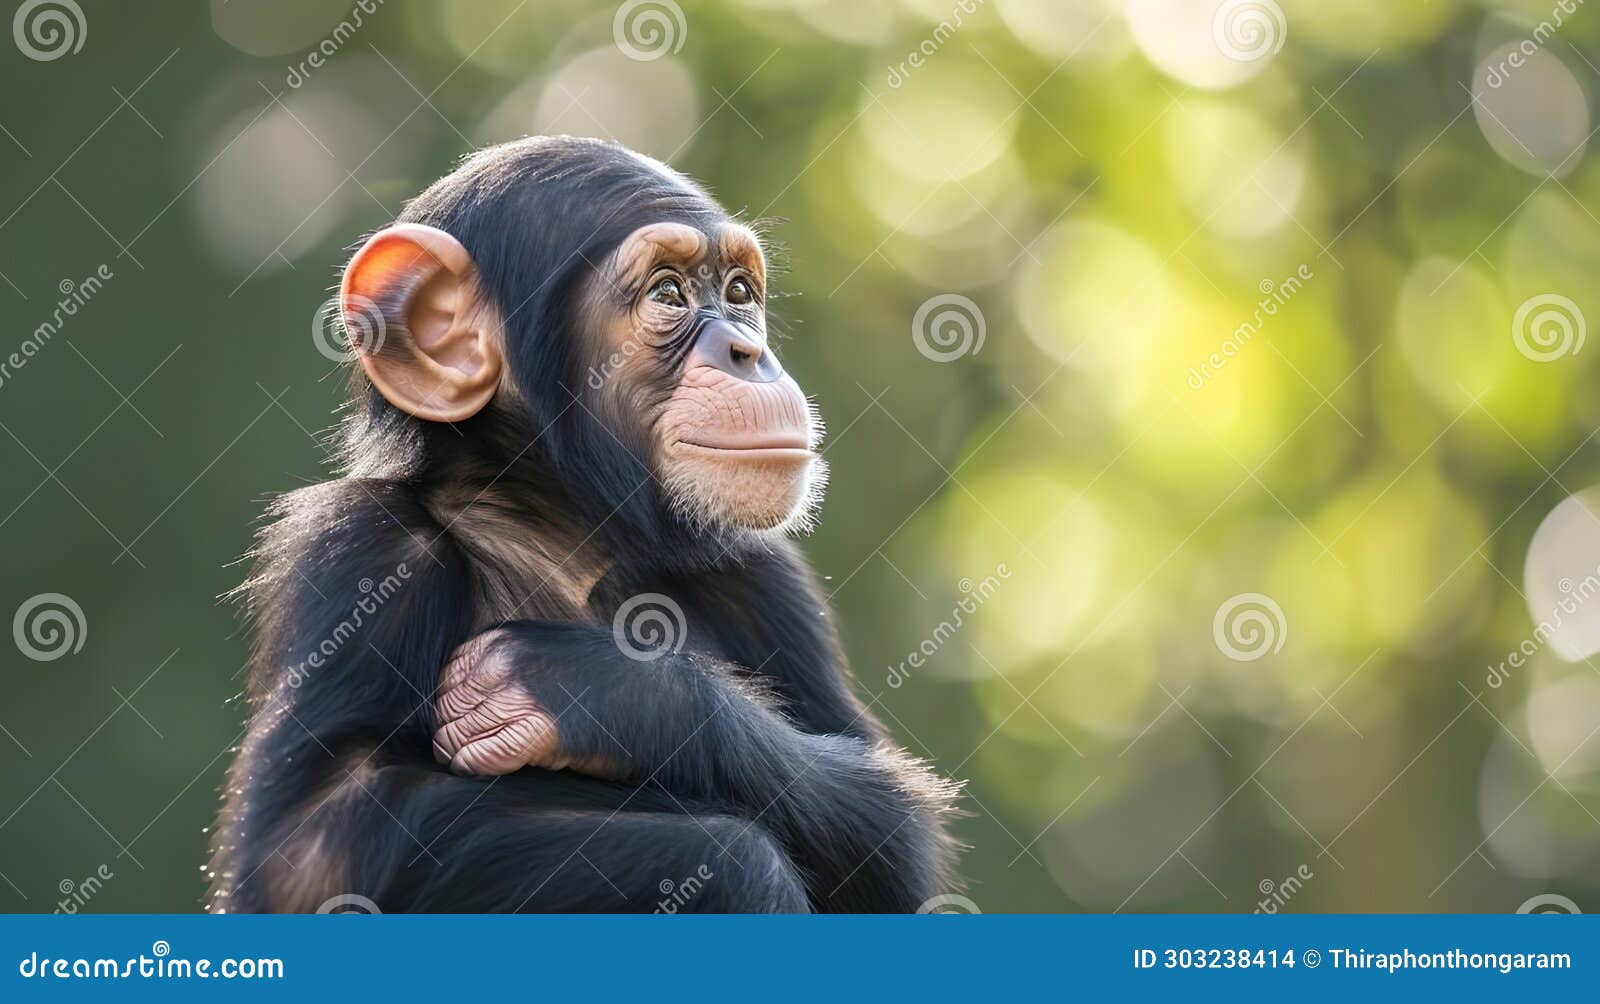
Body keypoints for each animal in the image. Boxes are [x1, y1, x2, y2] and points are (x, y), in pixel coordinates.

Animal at [207, 136, 960, 913]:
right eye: (669, 295)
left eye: (738, 295)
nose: (748, 353)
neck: (563, 528)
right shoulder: (361, 548)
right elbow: (315, 849)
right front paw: (721, 857)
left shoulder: (764, 578)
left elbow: (893, 838)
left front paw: (603, 691)